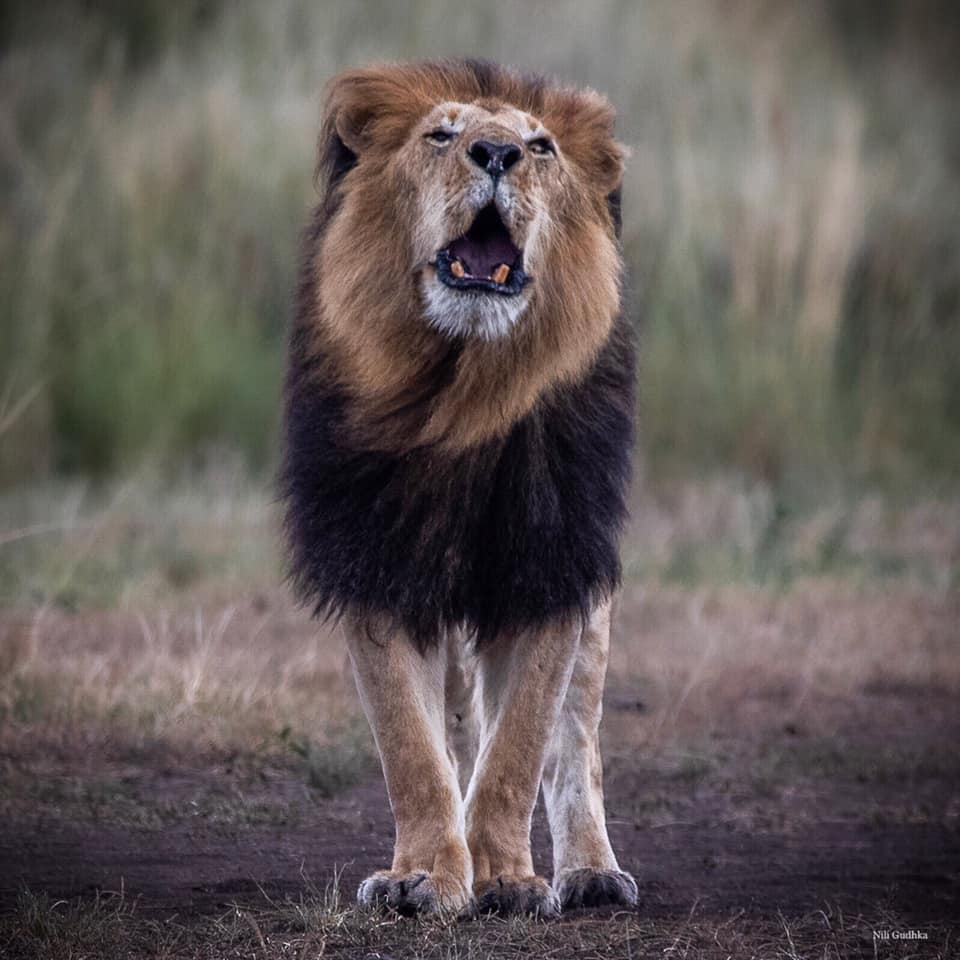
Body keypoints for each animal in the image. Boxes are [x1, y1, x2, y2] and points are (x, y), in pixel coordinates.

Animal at [281, 59, 636, 918]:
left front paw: (506, 879)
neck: (463, 392)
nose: (497, 154)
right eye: (440, 135)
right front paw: (422, 878)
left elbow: (520, 745)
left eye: (541, 147)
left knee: (576, 739)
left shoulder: (552, 564)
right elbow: (411, 745)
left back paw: (589, 873)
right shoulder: (378, 558)